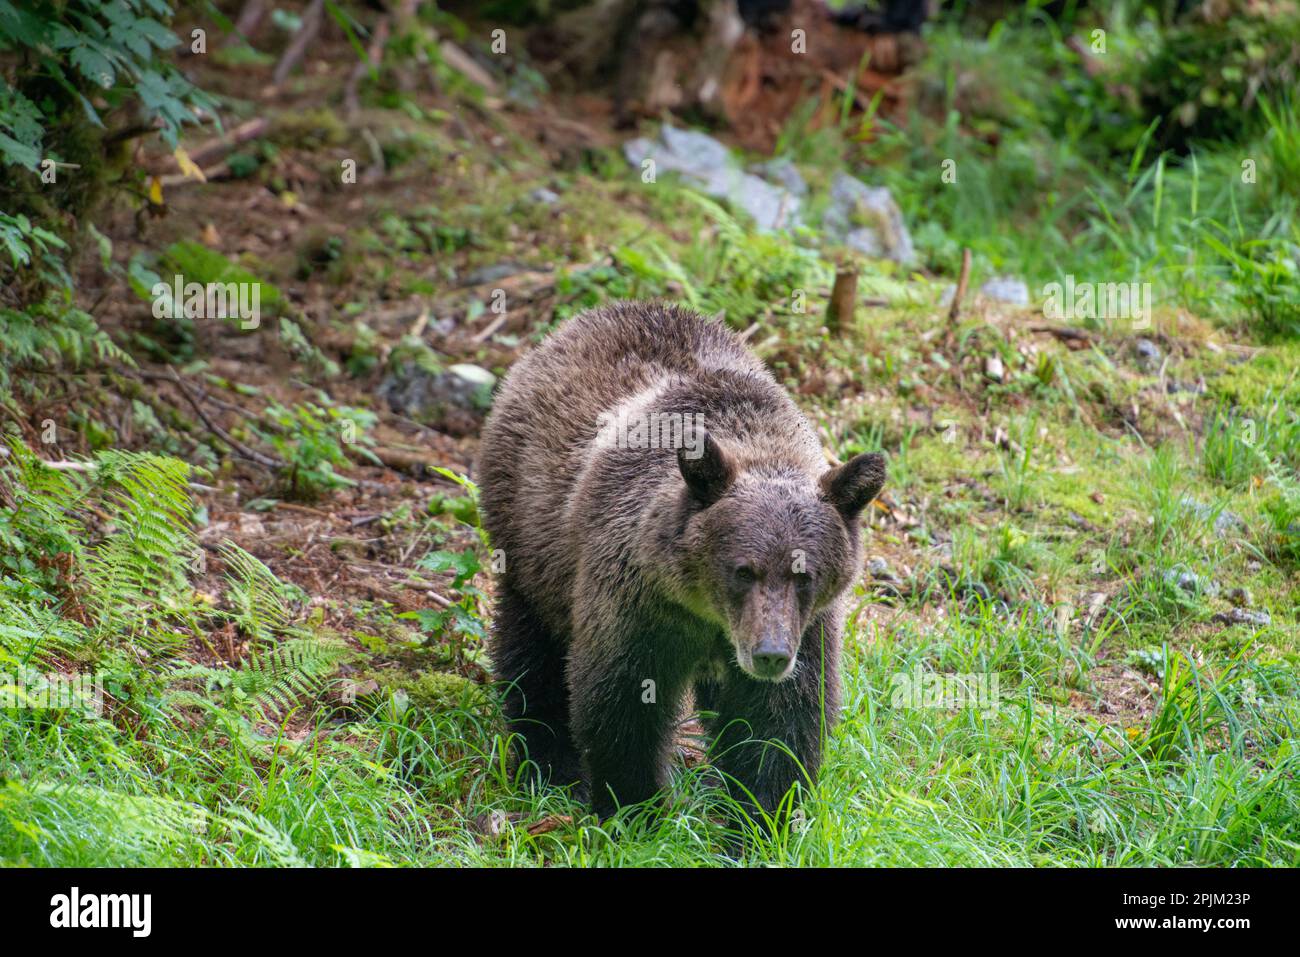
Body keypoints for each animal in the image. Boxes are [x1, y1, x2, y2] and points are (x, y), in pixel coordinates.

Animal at [476, 301, 885, 820]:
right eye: (743, 570)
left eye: (804, 574)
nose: (769, 654)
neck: (706, 612)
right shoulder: (636, 601)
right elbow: (622, 705)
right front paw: (635, 807)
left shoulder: (806, 627)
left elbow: (780, 724)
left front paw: (760, 816)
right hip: (533, 538)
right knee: (533, 649)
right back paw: (550, 765)